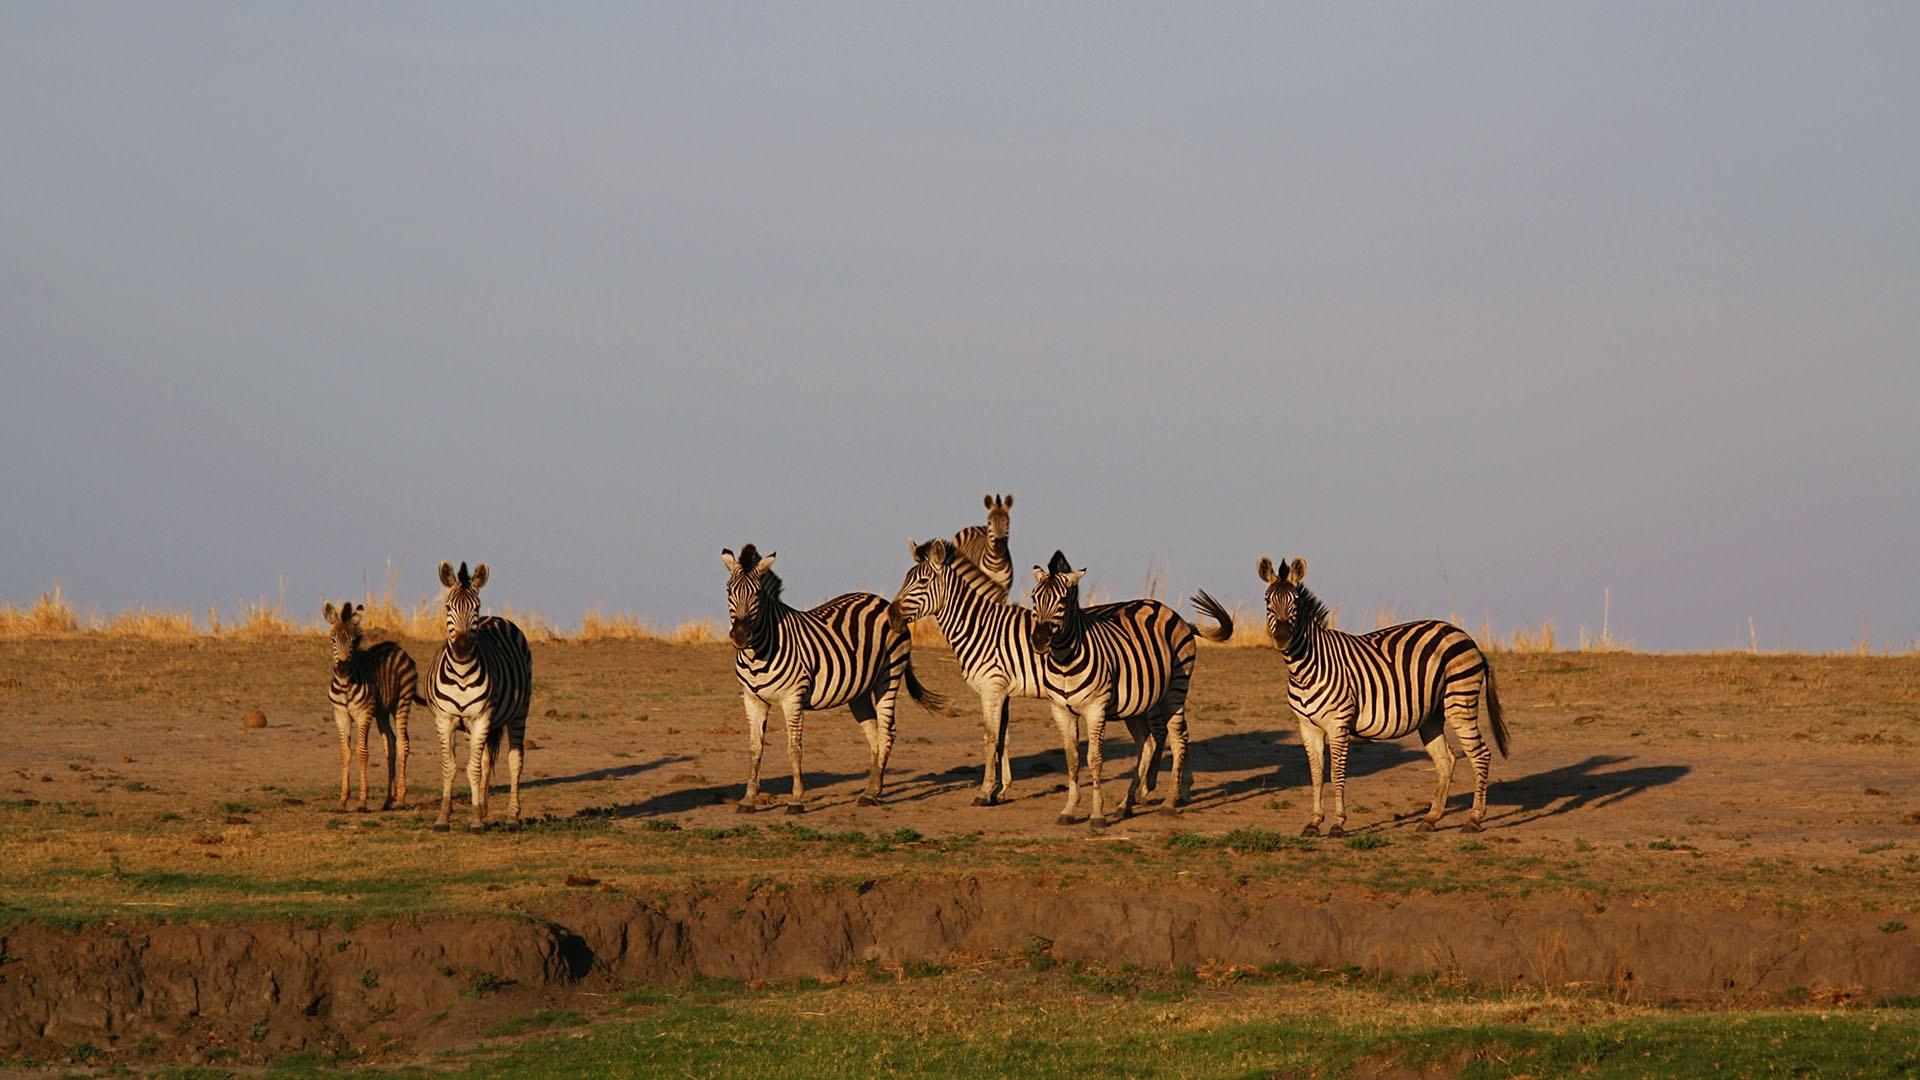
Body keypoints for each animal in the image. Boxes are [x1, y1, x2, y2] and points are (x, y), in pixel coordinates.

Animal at [323, 600, 419, 812]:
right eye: (333, 640)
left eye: (353, 641)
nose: (342, 668)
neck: (345, 683)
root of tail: (398, 648)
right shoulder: (340, 715)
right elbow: (345, 753)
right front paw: (342, 801)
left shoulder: (363, 714)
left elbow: (361, 752)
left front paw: (362, 801)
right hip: (382, 711)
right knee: (390, 742)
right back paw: (388, 800)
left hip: (402, 702)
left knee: (403, 742)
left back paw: (401, 798)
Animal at [426, 561, 533, 833]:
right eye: (447, 607)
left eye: (476, 607)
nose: (463, 649)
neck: (462, 674)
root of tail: (496, 618)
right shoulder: (445, 719)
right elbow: (450, 768)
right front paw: (444, 817)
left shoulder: (481, 717)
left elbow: (473, 770)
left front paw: (475, 821)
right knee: (485, 759)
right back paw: (484, 808)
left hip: (519, 712)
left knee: (515, 760)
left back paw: (512, 817)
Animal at [724, 544, 943, 813]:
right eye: (729, 591)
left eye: (757, 594)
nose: (740, 636)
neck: (758, 653)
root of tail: (881, 600)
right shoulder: (752, 699)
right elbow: (755, 749)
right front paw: (748, 800)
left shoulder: (792, 697)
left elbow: (794, 748)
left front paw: (796, 800)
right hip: (859, 691)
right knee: (874, 732)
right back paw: (871, 790)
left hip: (889, 675)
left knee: (887, 730)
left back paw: (874, 793)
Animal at [1027, 551, 1233, 830]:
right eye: (1034, 598)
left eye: (1062, 600)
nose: (1039, 640)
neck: (1064, 660)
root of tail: (1173, 613)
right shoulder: (1061, 710)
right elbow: (1072, 760)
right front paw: (1069, 810)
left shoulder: (1096, 709)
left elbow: (1095, 760)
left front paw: (1097, 816)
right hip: (1139, 703)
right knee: (1147, 744)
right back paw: (1127, 804)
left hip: (1175, 690)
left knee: (1178, 738)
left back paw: (1169, 803)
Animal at [1257, 555, 1510, 836]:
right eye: (1267, 600)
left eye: (1295, 602)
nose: (1282, 638)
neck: (1305, 668)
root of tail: (1466, 637)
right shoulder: (1306, 726)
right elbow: (1316, 775)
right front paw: (1313, 822)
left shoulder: (1338, 723)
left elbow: (1337, 773)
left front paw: (1338, 823)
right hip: (1432, 715)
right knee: (1446, 760)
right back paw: (1431, 818)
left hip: (1459, 701)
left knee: (1481, 755)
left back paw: (1474, 819)